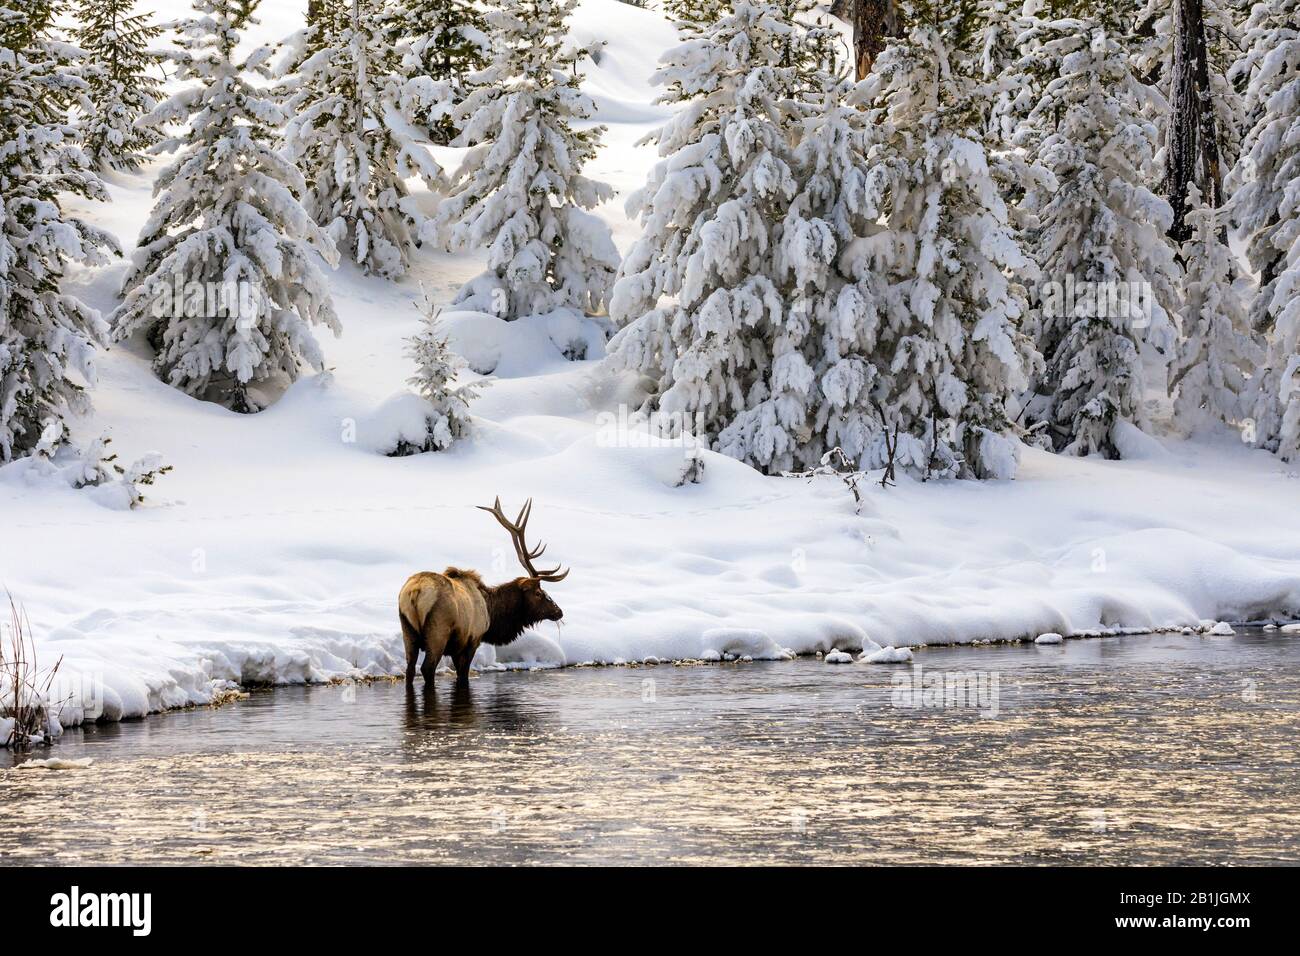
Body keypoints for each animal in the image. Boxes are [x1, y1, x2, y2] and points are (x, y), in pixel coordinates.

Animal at [398, 497, 568, 686]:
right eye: (538, 592)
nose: (559, 611)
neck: (491, 612)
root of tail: (415, 591)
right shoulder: (472, 639)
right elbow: (463, 675)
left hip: (407, 630)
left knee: (410, 669)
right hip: (438, 630)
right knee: (427, 668)